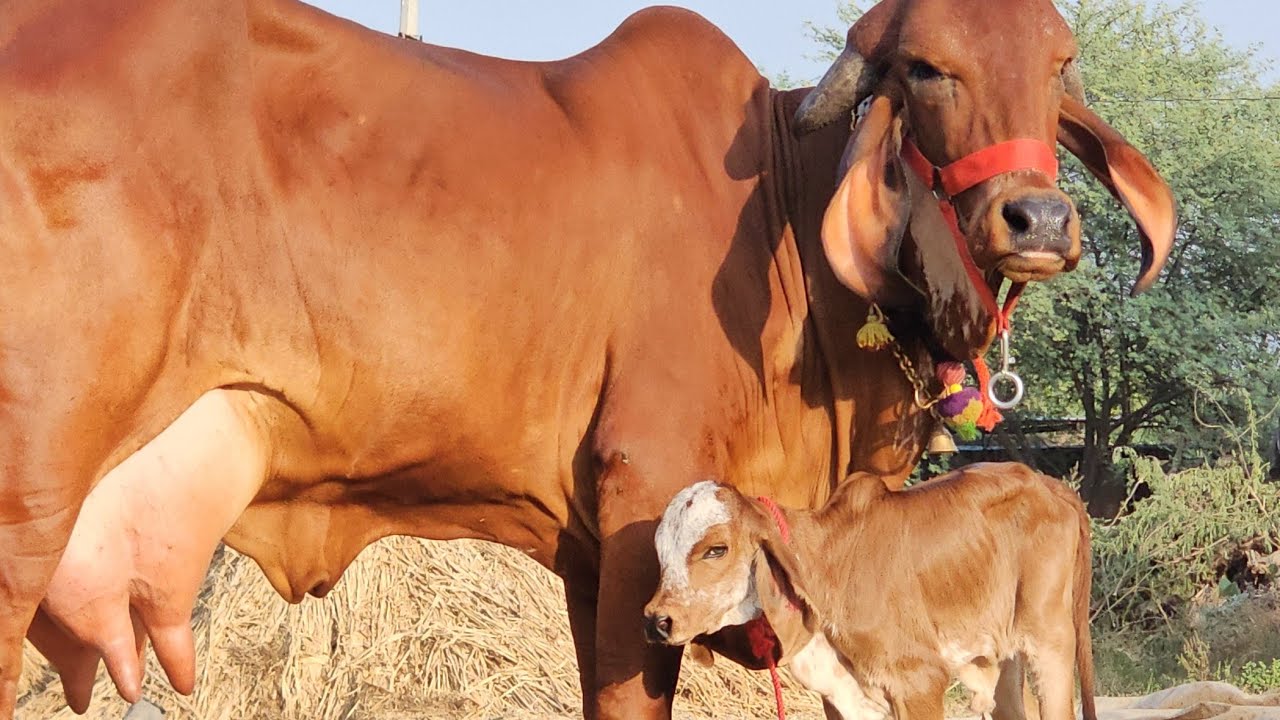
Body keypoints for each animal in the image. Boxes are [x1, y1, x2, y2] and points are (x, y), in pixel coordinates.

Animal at [643, 464, 1096, 720]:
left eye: (715, 549)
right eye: (659, 550)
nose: (656, 621)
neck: (830, 565)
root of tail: (1052, 486)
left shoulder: (919, 680)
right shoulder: (843, 698)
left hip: (1049, 641)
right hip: (1002, 659)